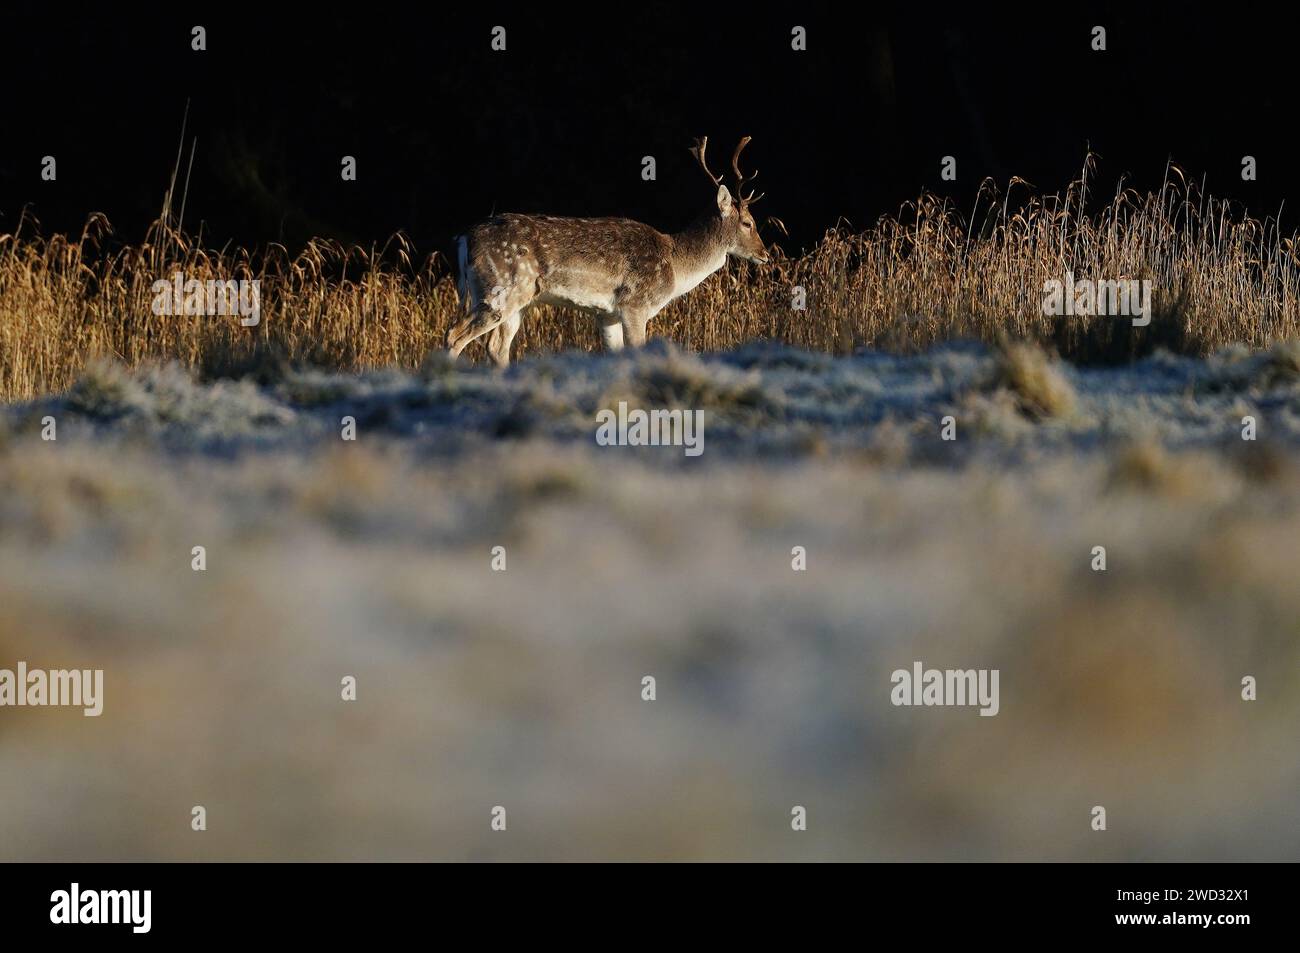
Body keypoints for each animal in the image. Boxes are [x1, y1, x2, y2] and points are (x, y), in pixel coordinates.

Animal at [447, 136, 770, 367]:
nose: (765, 254)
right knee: (455, 335)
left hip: (519, 301)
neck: (675, 265)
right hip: (501, 288)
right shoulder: (635, 303)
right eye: (748, 223)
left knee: (496, 347)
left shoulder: (607, 314)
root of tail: (463, 238)